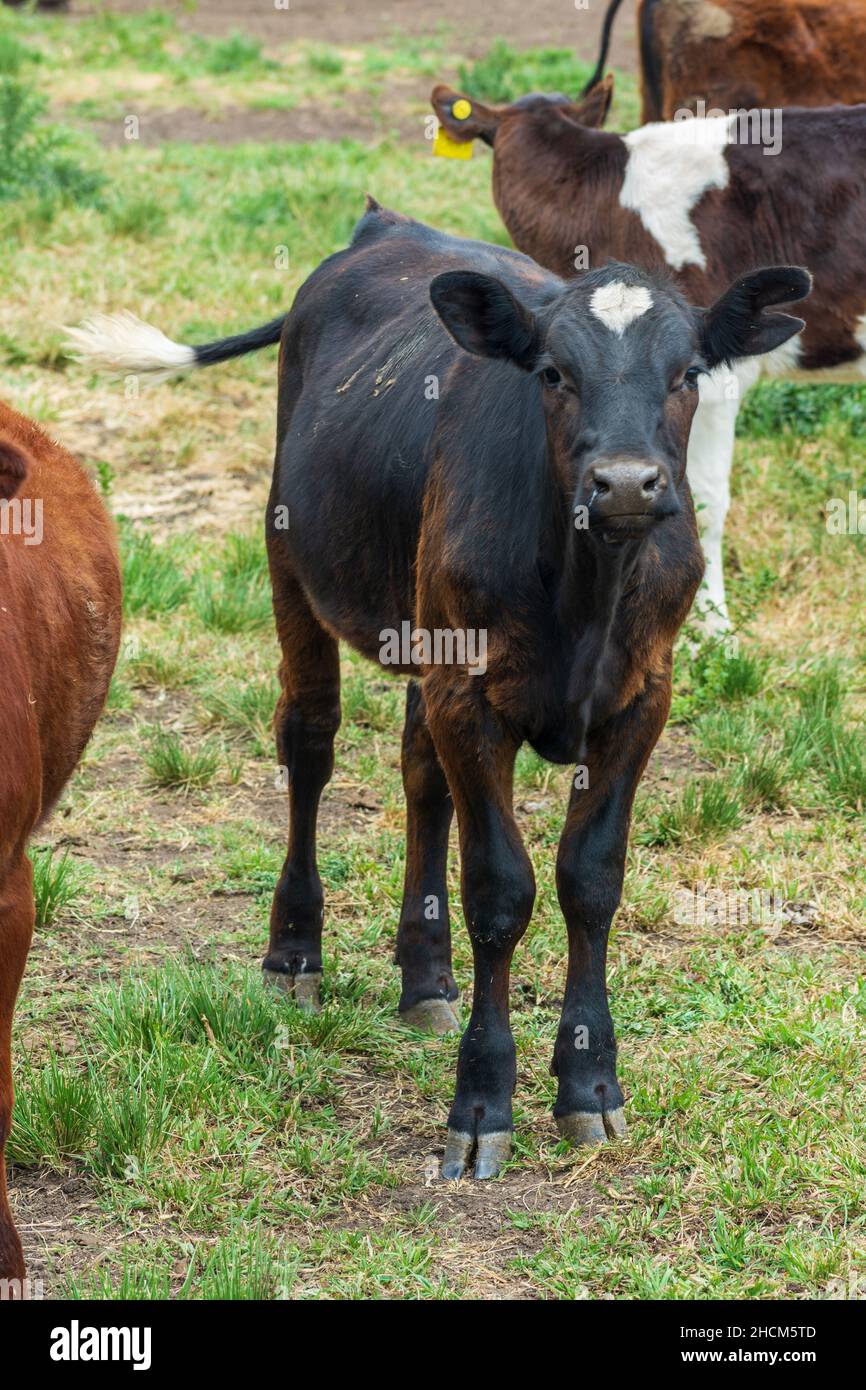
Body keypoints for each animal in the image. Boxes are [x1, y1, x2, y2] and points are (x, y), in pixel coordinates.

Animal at [67, 203, 808, 1177]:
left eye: (687, 373)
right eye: (552, 373)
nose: (624, 484)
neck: (585, 591)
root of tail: (382, 226)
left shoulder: (641, 697)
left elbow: (589, 879)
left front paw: (590, 1087)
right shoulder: (471, 695)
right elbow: (499, 890)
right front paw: (483, 1102)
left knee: (421, 776)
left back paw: (425, 974)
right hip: (290, 563)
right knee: (310, 744)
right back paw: (295, 953)